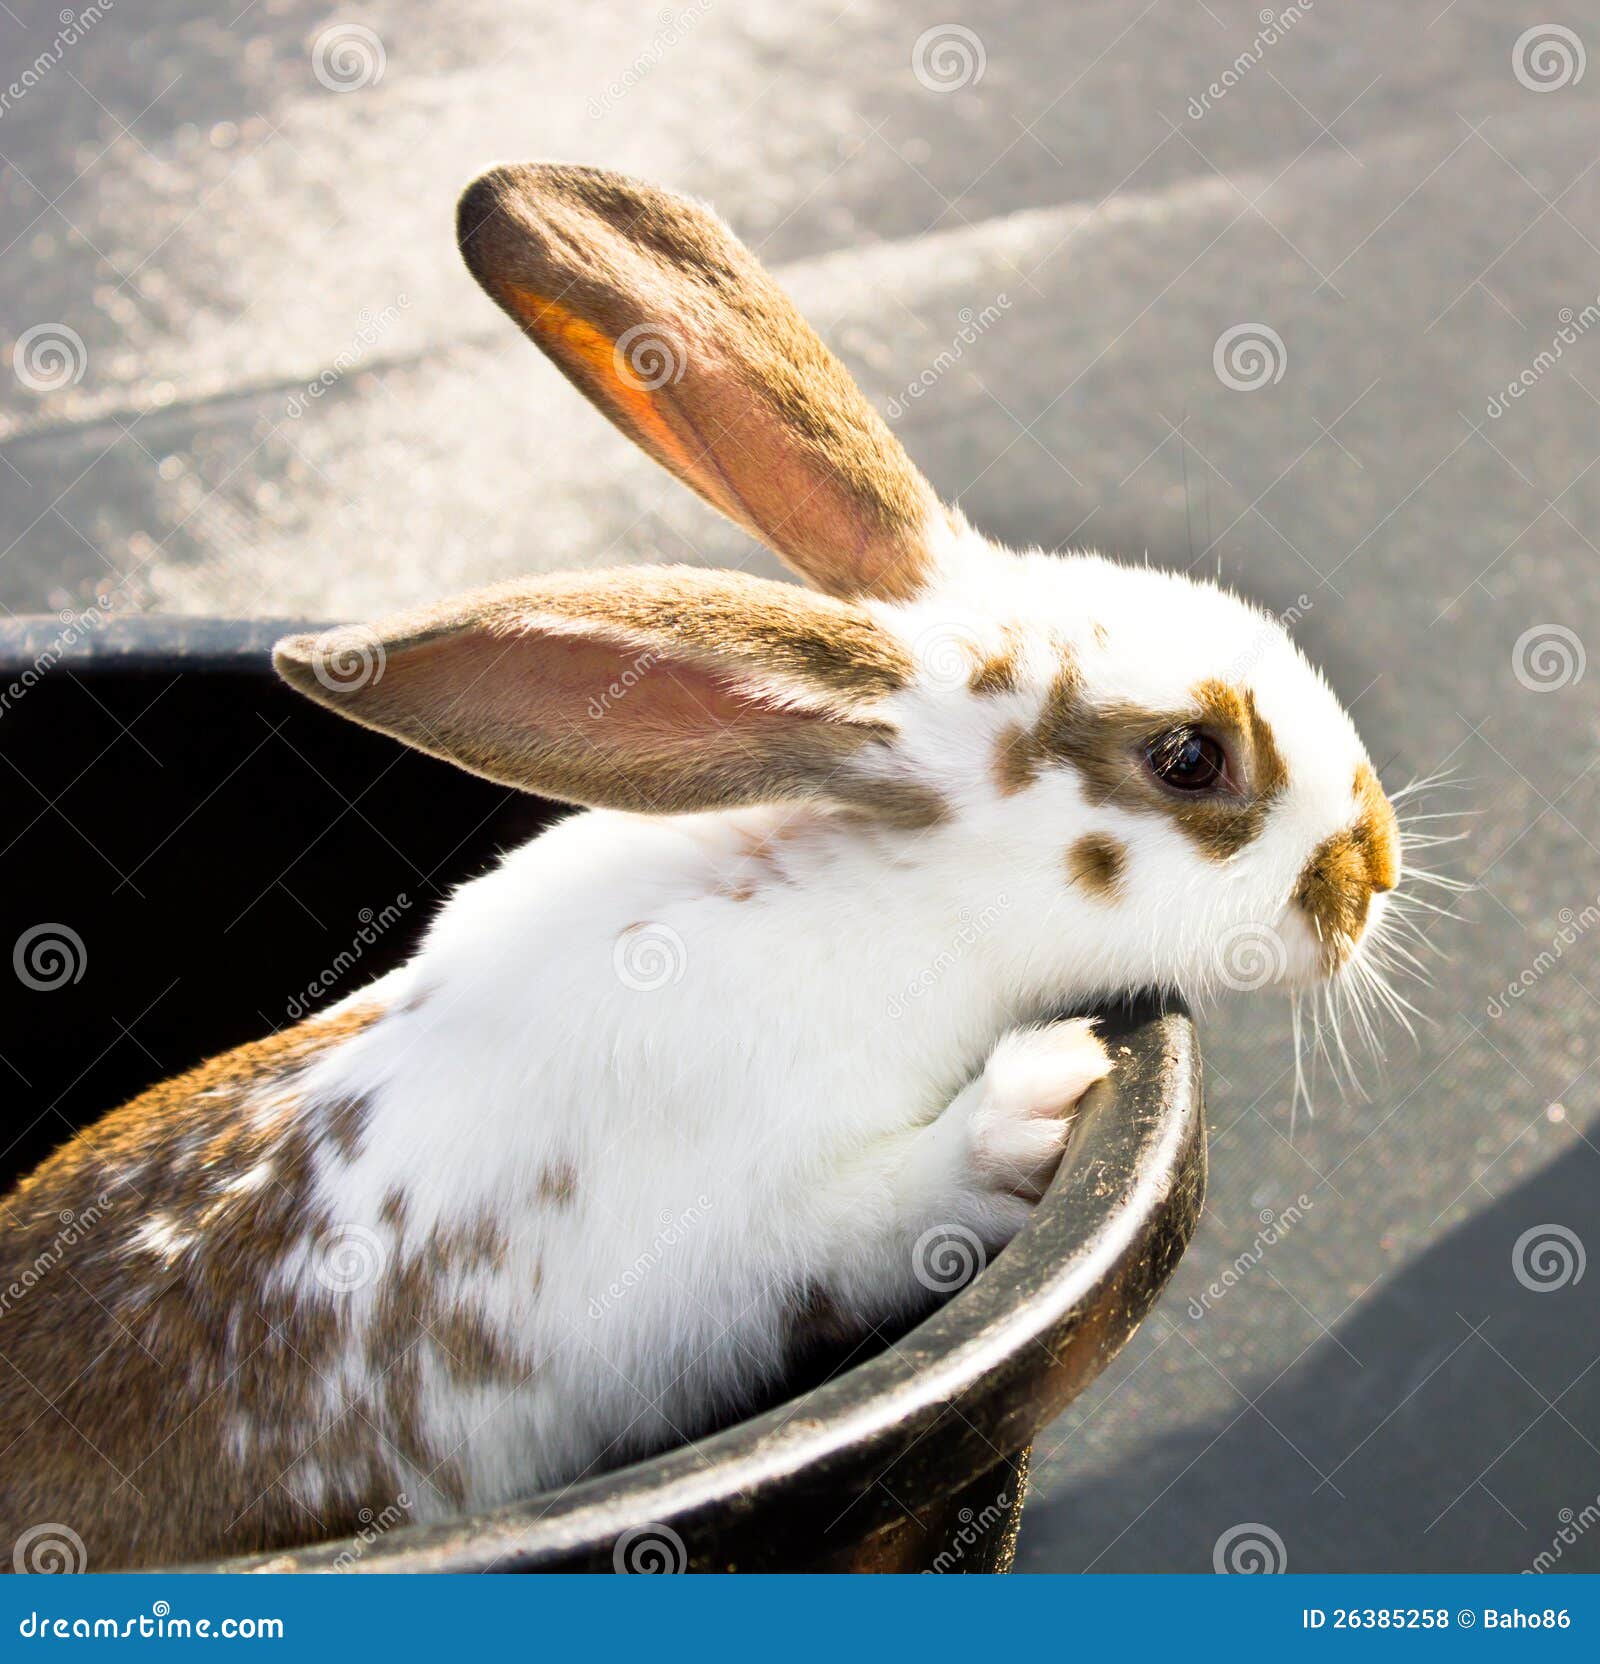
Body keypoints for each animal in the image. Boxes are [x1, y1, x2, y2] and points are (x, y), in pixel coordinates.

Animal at [0, 163, 1403, 1572]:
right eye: (1189, 757)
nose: (1373, 869)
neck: (886, 884)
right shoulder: (752, 1234)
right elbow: (880, 1216)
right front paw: (1041, 1098)